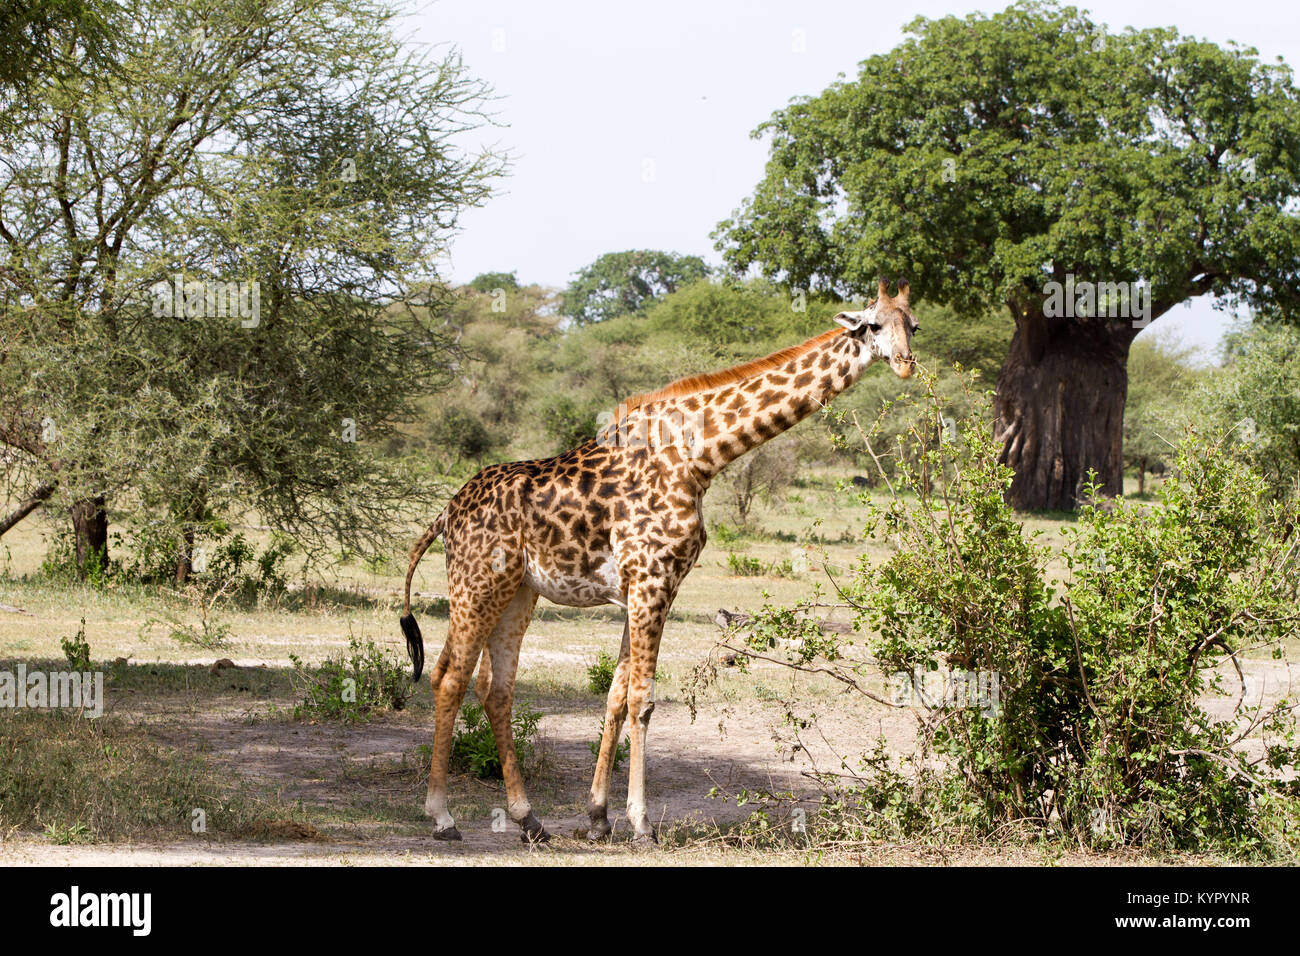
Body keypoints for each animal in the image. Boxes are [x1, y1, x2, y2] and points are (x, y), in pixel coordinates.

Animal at [399, 278, 919, 844]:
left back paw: (528, 819)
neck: (700, 456)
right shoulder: (654, 578)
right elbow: (643, 700)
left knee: (497, 690)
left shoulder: (640, 585)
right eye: (873, 324)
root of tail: (446, 513)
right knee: (449, 677)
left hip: (518, 591)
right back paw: (442, 816)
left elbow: (615, 695)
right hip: (476, 584)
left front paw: (598, 818)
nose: (906, 363)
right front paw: (641, 823)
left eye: (913, 325)